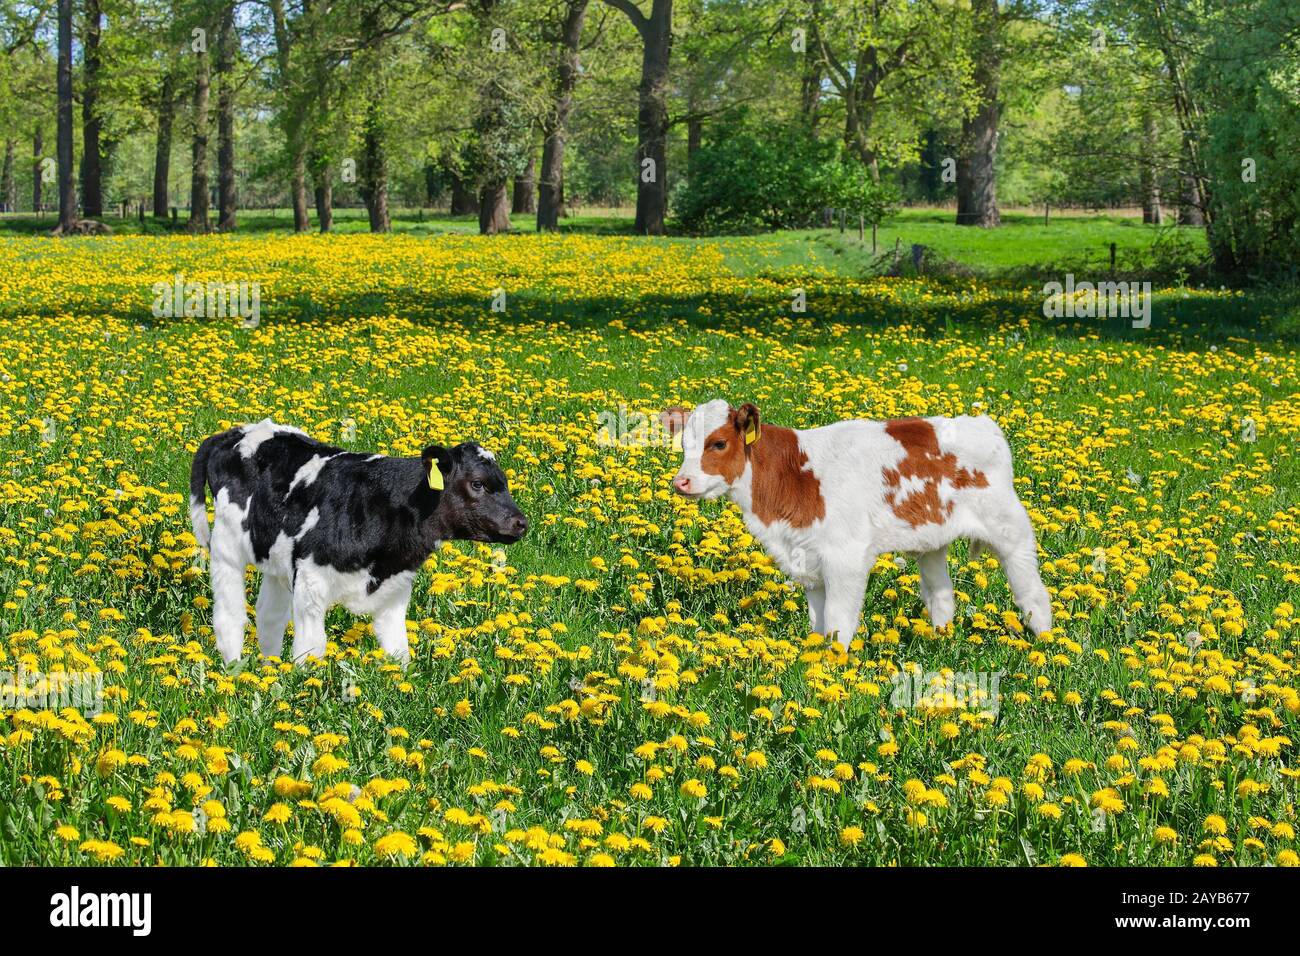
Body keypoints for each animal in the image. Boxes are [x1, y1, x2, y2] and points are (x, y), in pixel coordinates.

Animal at [189, 419, 528, 665]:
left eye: (504, 482)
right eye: (477, 484)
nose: (521, 523)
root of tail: (235, 431)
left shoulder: (395, 588)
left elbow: (398, 651)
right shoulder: (310, 580)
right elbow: (311, 651)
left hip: (276, 558)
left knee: (268, 617)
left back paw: (269, 668)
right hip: (226, 549)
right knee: (230, 617)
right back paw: (235, 671)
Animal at [662, 400, 1052, 648]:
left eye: (718, 443)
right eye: (684, 445)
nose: (681, 482)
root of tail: (981, 423)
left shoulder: (844, 557)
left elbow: (838, 621)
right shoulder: (807, 555)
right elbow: (819, 624)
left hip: (1008, 526)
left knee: (1032, 591)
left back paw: (1045, 643)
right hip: (932, 537)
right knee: (941, 596)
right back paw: (940, 641)